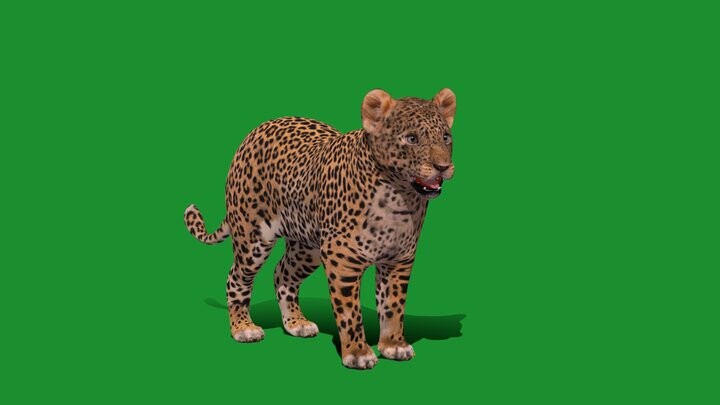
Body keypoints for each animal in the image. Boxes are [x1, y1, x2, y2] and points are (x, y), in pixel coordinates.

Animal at [184, 88, 456, 369]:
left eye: (446, 137)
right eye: (412, 139)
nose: (443, 167)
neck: (399, 199)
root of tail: (256, 130)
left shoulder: (398, 260)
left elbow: (393, 306)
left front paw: (394, 345)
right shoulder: (342, 260)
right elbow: (350, 312)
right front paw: (358, 353)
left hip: (307, 248)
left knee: (282, 274)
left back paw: (296, 323)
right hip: (252, 240)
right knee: (235, 278)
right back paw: (243, 328)